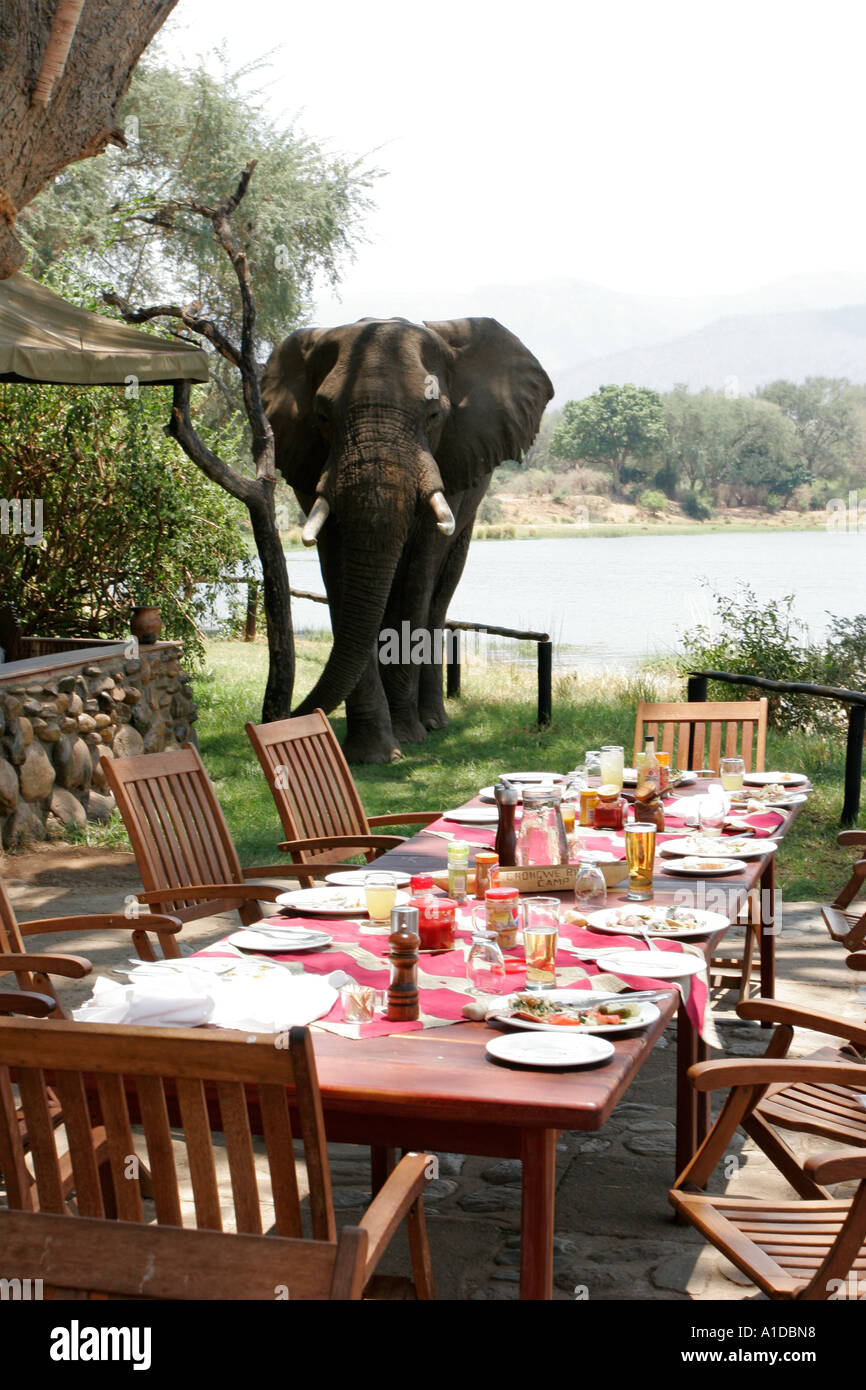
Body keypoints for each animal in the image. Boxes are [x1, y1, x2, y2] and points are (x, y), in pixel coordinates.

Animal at [262, 316, 553, 763]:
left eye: (433, 414)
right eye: (322, 416)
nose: (278, 718)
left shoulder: (451, 461)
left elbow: (419, 575)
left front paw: (408, 737)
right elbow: (339, 571)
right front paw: (374, 754)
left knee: (438, 594)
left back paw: (433, 722)